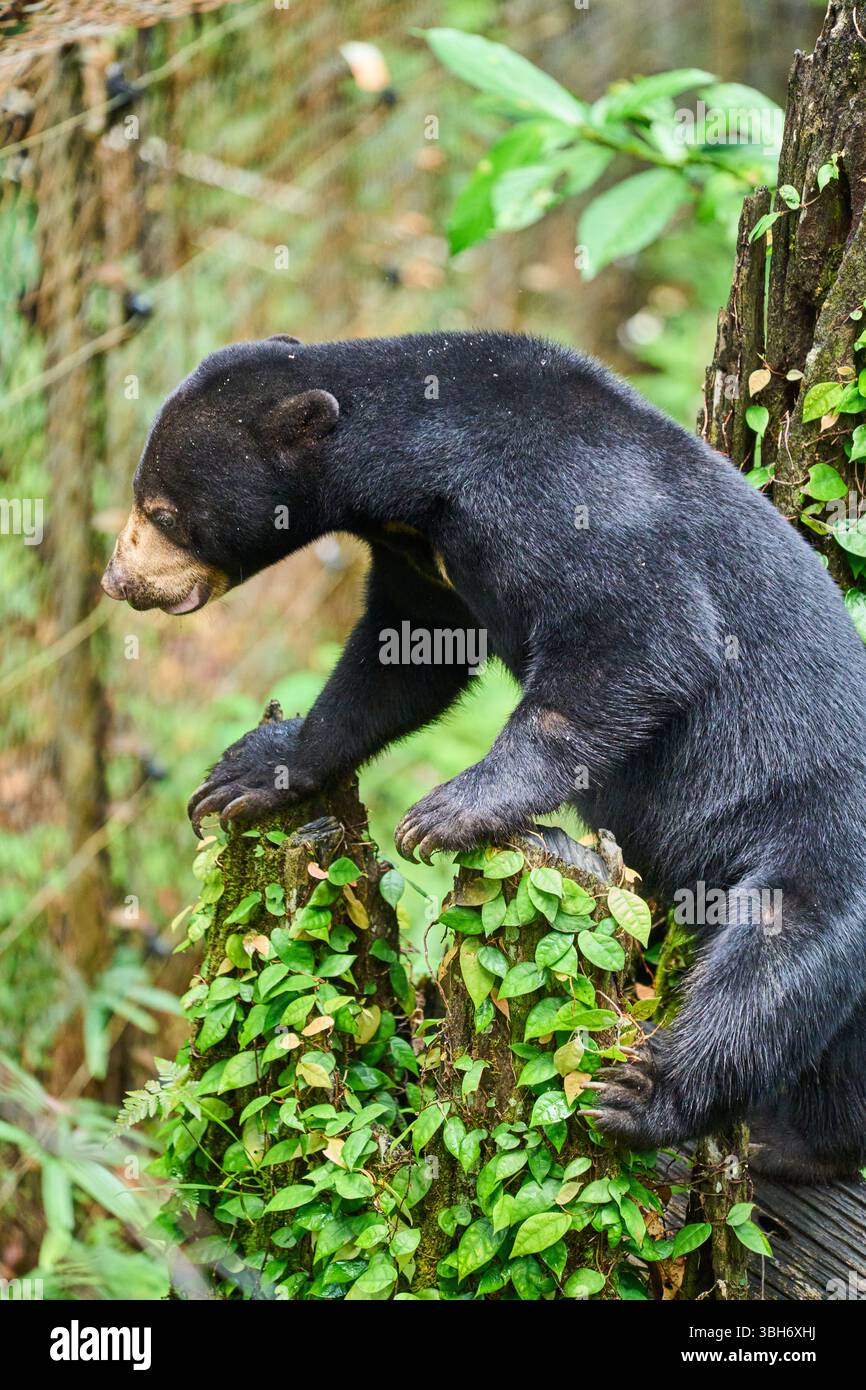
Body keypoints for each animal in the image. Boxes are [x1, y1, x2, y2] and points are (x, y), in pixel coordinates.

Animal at [102, 330, 866, 1183]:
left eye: (163, 511)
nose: (117, 578)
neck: (414, 484)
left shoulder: (559, 504)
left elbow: (640, 639)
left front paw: (444, 814)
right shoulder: (425, 565)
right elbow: (401, 659)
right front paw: (251, 773)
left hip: (811, 833)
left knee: (774, 967)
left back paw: (669, 1103)